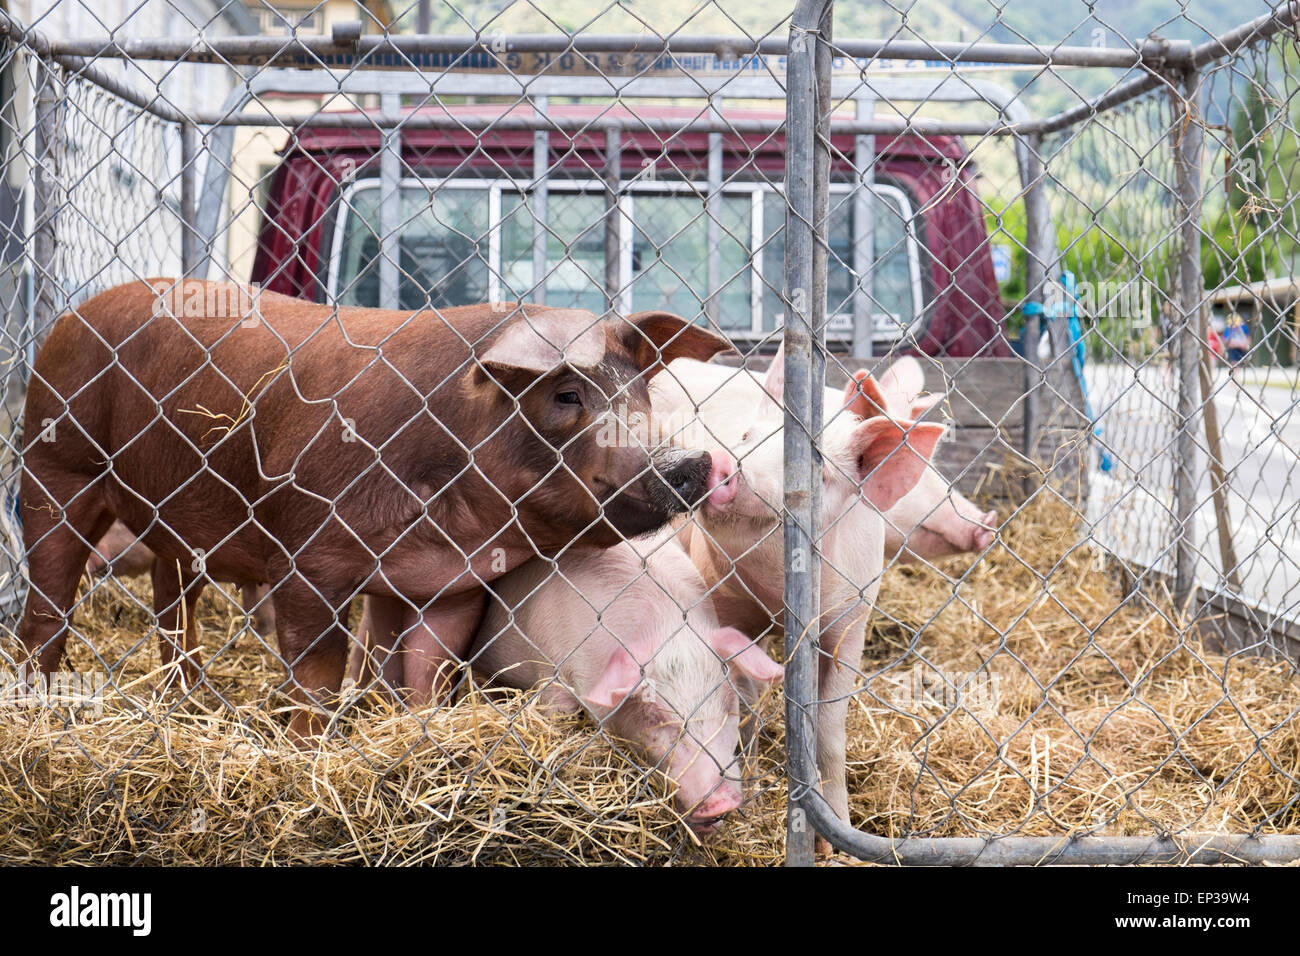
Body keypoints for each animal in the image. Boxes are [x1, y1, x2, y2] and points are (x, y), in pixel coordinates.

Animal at [18, 279, 728, 736]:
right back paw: (35, 703)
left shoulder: (455, 582)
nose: (688, 462)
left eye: (641, 391)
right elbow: (318, 665)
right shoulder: (308, 555)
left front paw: (416, 727)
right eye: (567, 394)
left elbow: (427, 667)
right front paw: (306, 742)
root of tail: (69, 319)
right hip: (55, 463)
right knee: (49, 597)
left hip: (174, 517)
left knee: (175, 602)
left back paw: (185, 703)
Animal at [469, 530, 783, 832]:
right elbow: (558, 711)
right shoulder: (549, 663)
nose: (721, 801)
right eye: (654, 716)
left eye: (729, 708)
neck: (666, 627)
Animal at [661, 354, 946, 835]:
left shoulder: (850, 620)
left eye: (818, 473)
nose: (724, 462)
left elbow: (829, 725)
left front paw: (838, 832)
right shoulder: (722, 606)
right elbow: (746, 707)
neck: (777, 601)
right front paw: (753, 800)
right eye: (746, 437)